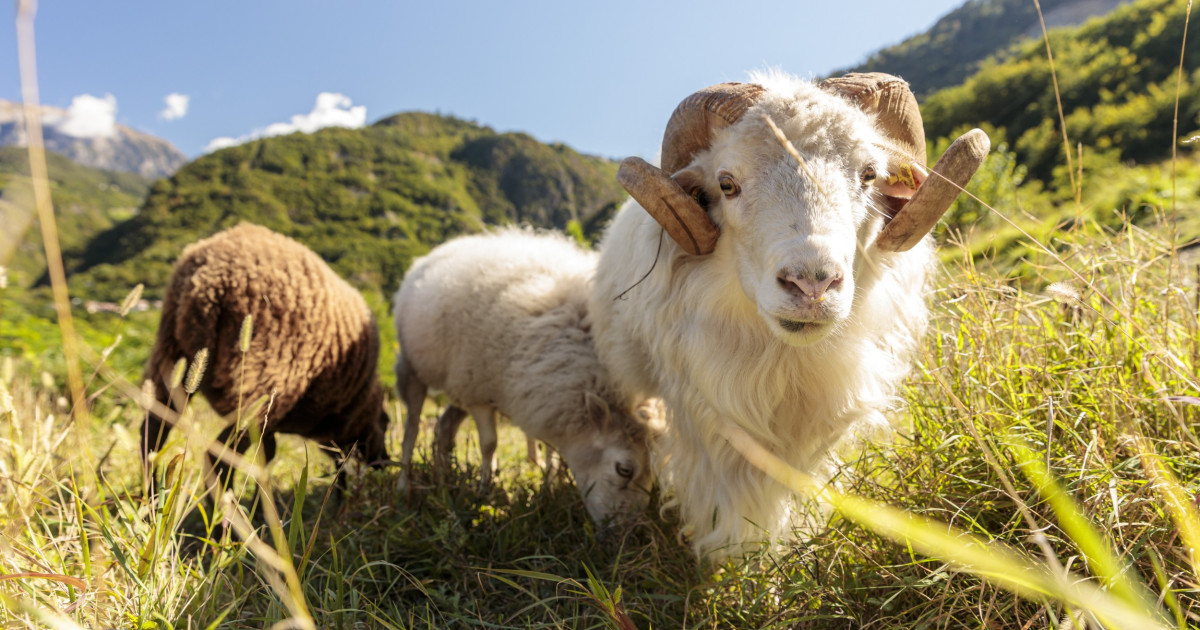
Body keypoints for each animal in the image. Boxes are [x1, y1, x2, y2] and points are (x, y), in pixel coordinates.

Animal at [141, 223, 390, 485]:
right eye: (386, 422)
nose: (384, 463)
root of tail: (209, 279)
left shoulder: (272, 426)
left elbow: (267, 456)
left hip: (172, 353)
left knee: (153, 430)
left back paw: (152, 490)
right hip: (259, 378)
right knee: (218, 455)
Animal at [392, 229, 660, 526]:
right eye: (624, 469)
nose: (630, 531)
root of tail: (439, 250)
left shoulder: (541, 397)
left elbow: (551, 449)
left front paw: (548, 486)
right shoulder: (480, 395)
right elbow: (489, 444)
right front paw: (486, 494)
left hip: (458, 385)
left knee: (444, 427)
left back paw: (442, 478)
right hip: (415, 369)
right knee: (412, 429)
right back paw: (404, 486)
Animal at [590, 71, 989, 556]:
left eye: (869, 175)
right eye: (726, 184)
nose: (812, 283)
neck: (786, 361)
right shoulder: (703, 407)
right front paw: (732, 556)